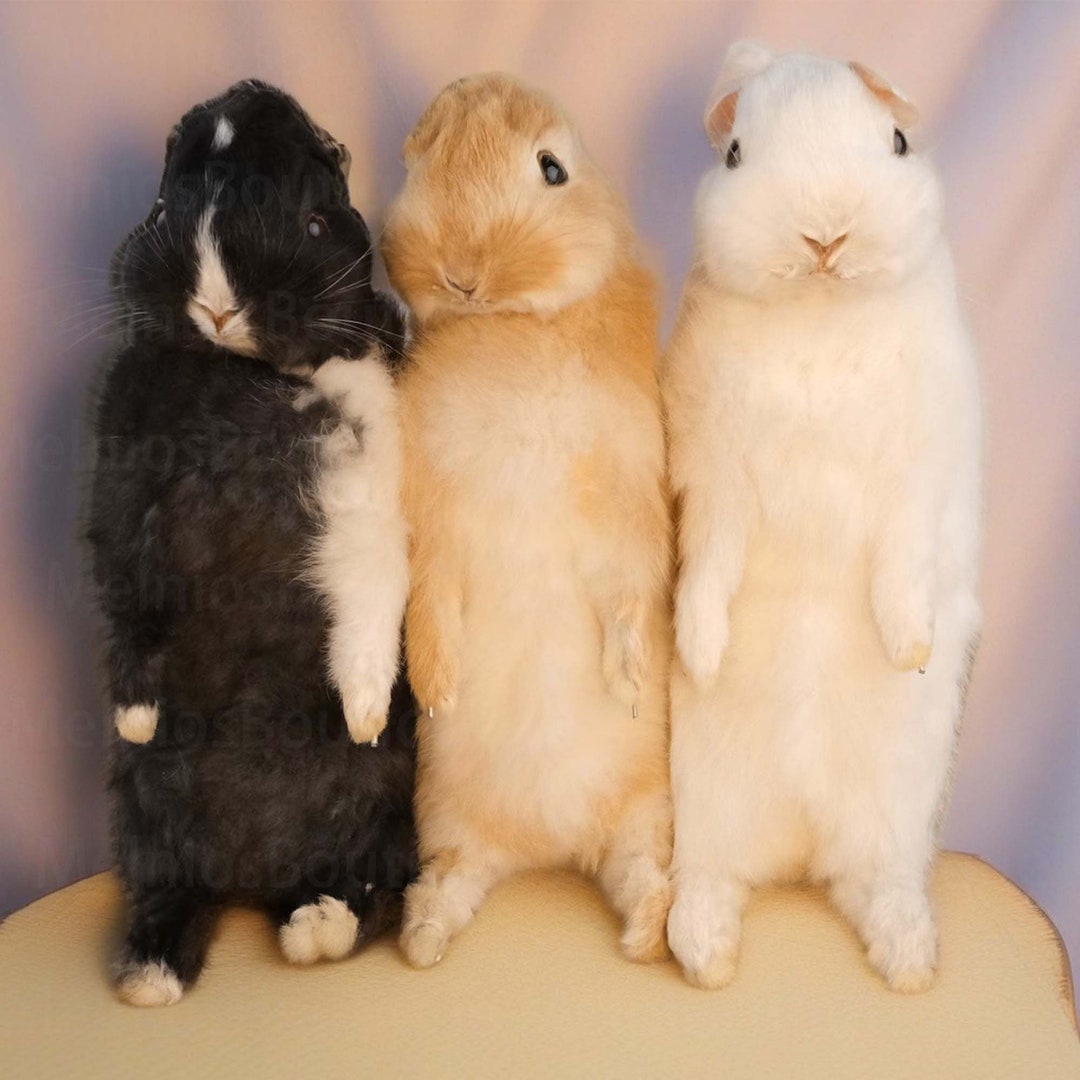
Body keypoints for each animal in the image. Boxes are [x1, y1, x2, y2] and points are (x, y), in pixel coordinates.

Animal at [86, 80, 418, 1006]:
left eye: (312, 220)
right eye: (165, 208)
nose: (216, 307)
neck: (243, 371)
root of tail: (249, 873)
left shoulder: (363, 465)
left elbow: (372, 593)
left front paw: (366, 712)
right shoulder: (126, 477)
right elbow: (128, 591)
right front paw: (133, 714)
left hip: (382, 814)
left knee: (357, 890)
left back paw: (316, 928)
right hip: (145, 814)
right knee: (172, 893)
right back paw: (150, 975)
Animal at [381, 74, 674, 968]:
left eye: (552, 168)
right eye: (415, 169)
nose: (461, 273)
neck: (512, 323)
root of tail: (549, 844)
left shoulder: (627, 516)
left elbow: (626, 596)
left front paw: (629, 679)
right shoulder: (434, 531)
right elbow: (428, 605)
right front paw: (437, 688)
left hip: (647, 812)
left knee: (644, 872)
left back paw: (647, 936)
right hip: (445, 825)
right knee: (454, 880)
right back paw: (422, 940)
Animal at [662, 43, 983, 993]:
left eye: (898, 142)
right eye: (735, 156)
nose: (824, 237)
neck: (819, 309)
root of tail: (802, 836)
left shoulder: (916, 475)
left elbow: (903, 564)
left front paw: (907, 645)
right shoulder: (714, 481)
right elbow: (710, 564)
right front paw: (701, 655)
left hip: (898, 808)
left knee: (878, 883)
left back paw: (911, 961)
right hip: (705, 802)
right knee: (709, 877)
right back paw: (705, 954)